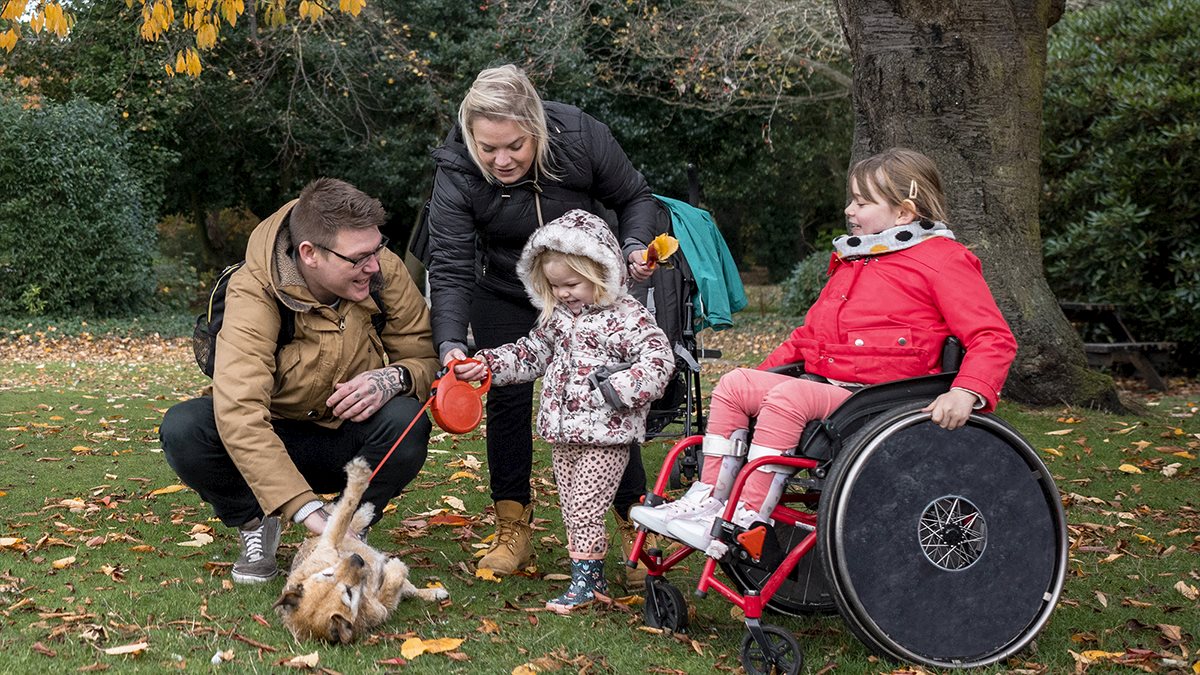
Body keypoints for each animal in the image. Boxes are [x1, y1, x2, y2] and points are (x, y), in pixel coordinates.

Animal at [272, 454, 451, 638]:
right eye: (349, 594)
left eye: (327, 574)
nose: (357, 559)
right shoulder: (381, 607)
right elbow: (391, 588)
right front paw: (395, 569)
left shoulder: (330, 542)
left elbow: (346, 507)